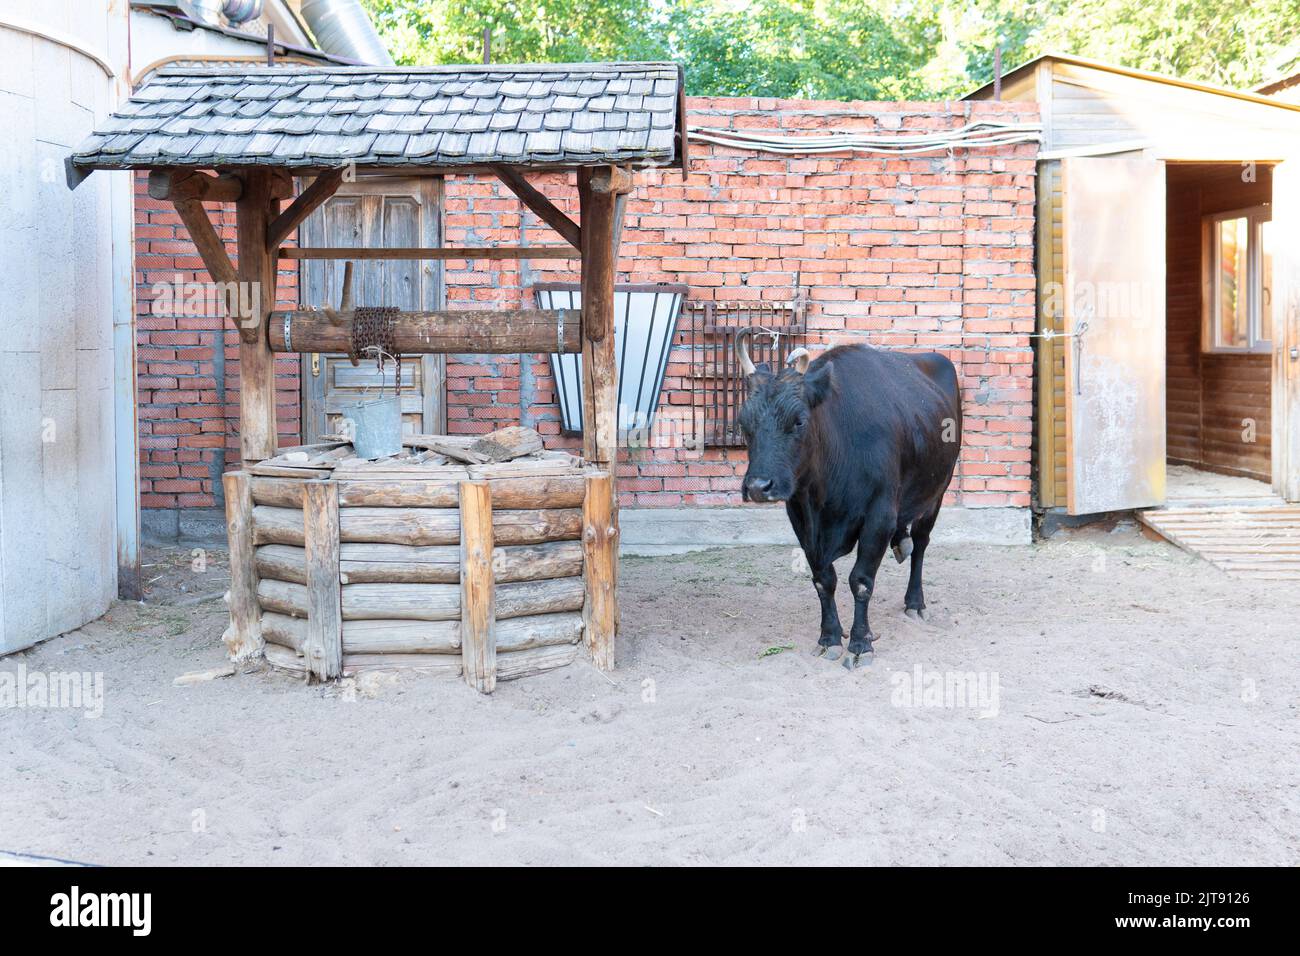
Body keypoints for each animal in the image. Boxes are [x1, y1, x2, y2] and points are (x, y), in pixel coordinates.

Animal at [735, 334, 962, 668]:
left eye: (799, 421)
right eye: (743, 421)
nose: (757, 486)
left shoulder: (879, 516)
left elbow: (861, 581)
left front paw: (860, 643)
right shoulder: (802, 519)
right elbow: (823, 580)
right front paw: (829, 638)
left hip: (938, 489)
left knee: (921, 543)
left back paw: (915, 601)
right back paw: (901, 544)